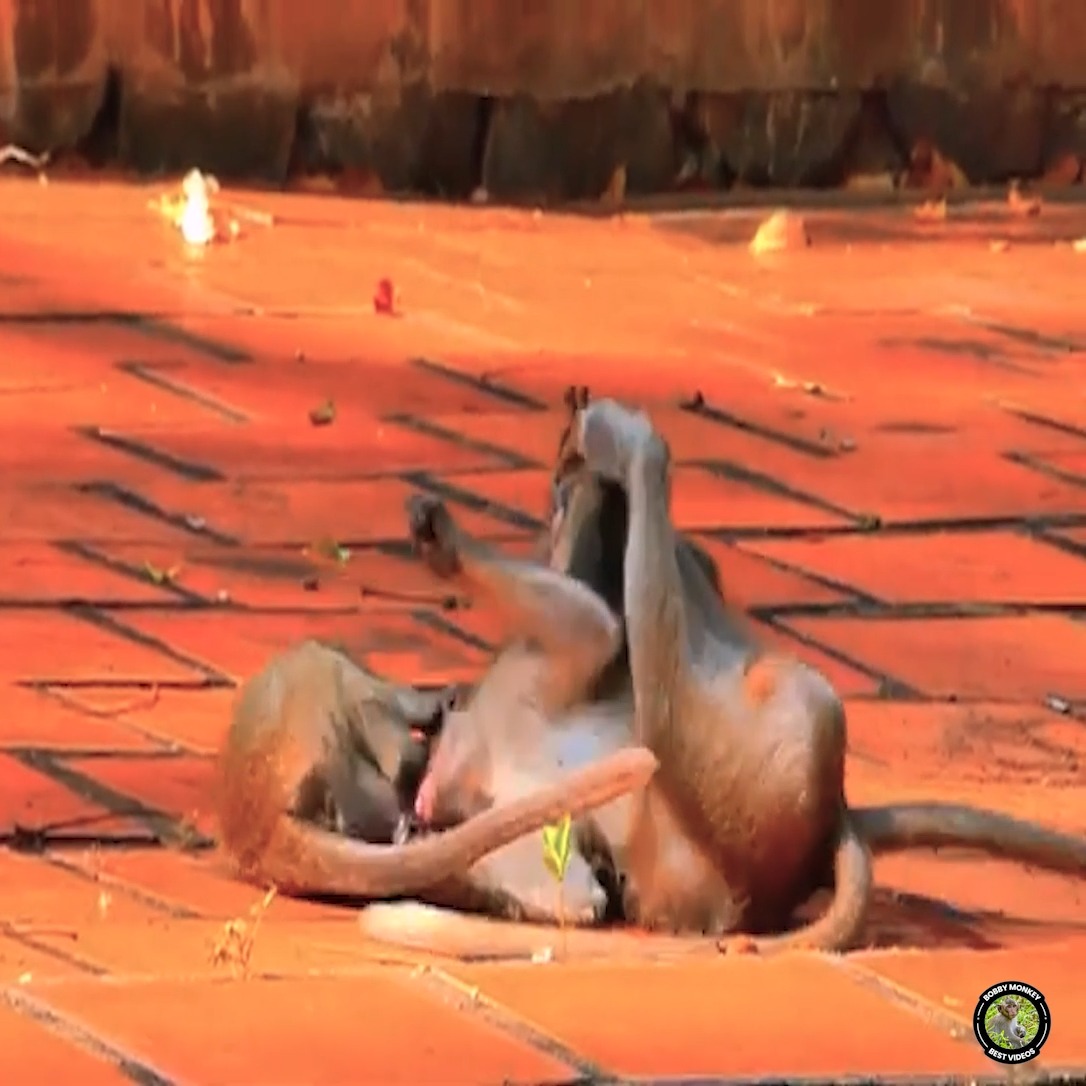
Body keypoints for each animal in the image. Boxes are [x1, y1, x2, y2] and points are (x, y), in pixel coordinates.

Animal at [357, 394, 1086, 959]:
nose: (416, 811)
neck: (481, 760)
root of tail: (823, 827)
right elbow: (578, 893)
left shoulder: (512, 697)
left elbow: (592, 631)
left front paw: (454, 540)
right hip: (753, 764)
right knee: (696, 664)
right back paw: (623, 462)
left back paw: (597, 475)